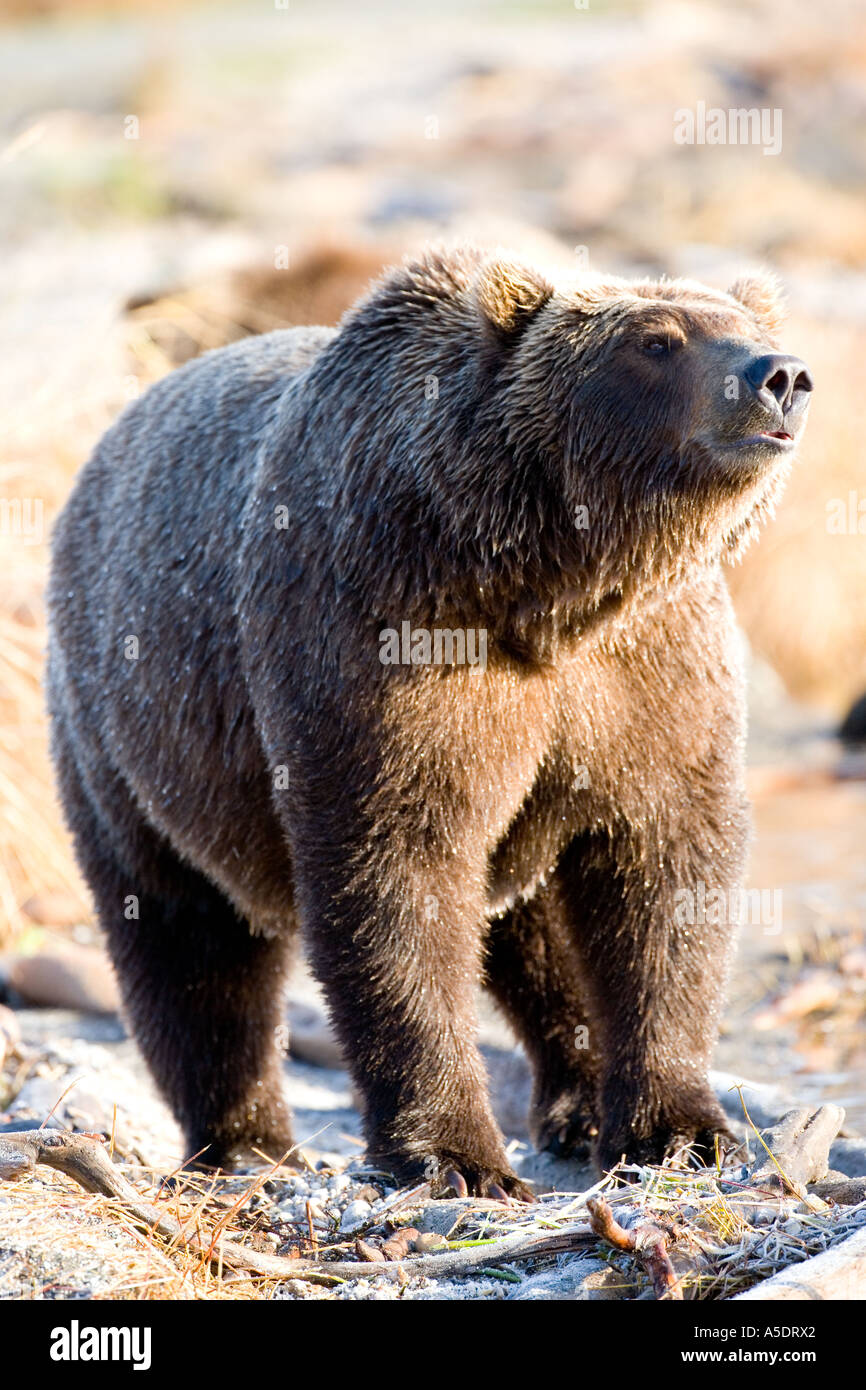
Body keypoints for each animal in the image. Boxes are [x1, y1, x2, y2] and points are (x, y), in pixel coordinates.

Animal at [46, 246, 813, 1198]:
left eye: (746, 326)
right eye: (657, 340)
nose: (781, 376)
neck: (551, 589)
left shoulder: (643, 673)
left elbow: (662, 865)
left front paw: (678, 1128)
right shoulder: (385, 640)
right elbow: (394, 873)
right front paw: (454, 1157)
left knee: (533, 929)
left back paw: (575, 1103)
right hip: (128, 742)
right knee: (187, 946)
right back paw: (247, 1144)